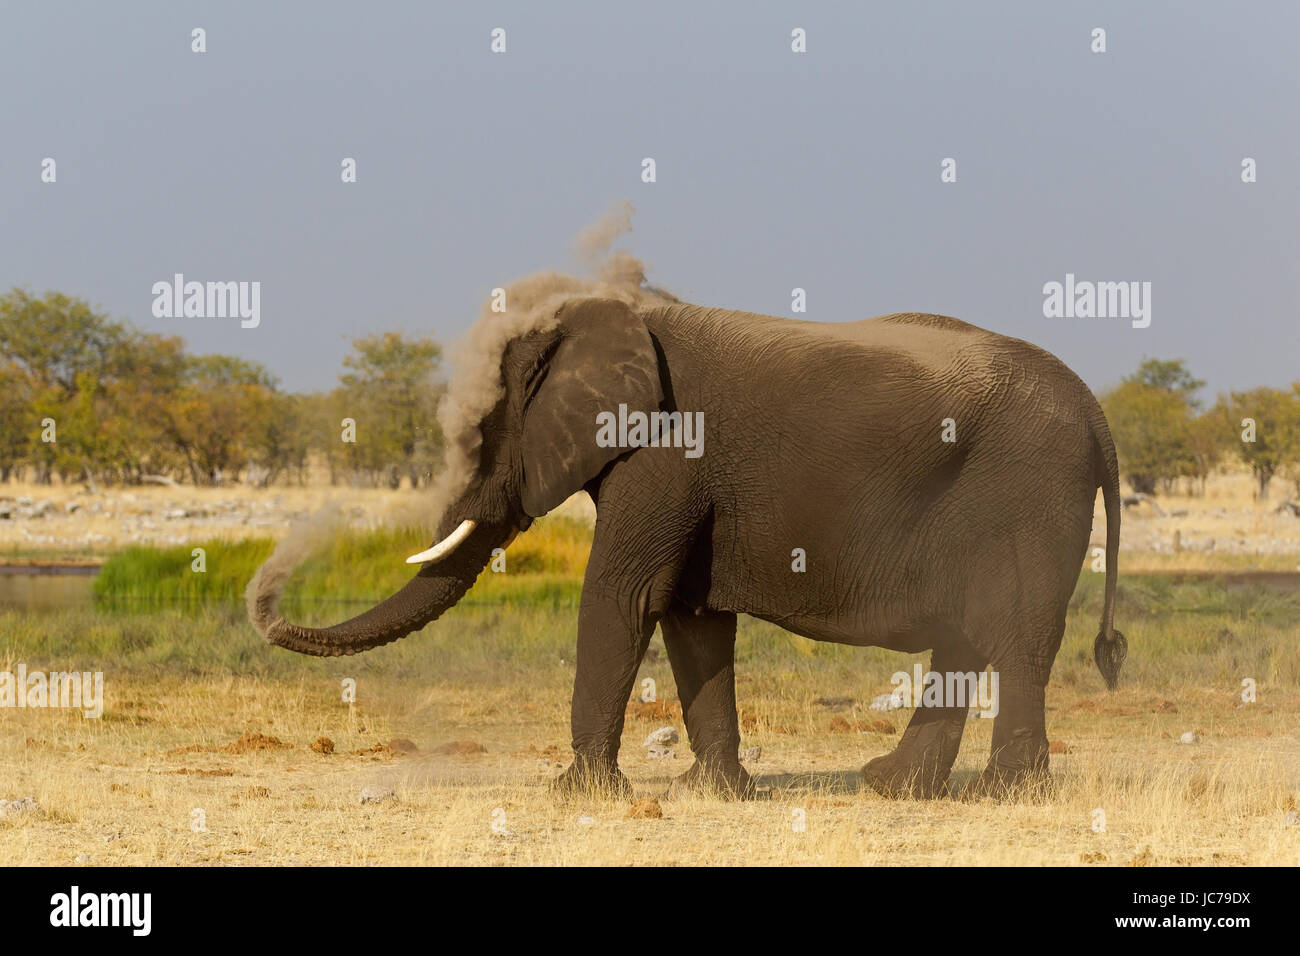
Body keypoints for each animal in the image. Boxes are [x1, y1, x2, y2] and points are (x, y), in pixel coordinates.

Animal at [249, 295, 1127, 801]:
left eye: (483, 431)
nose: (270, 582)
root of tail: (1095, 408)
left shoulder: (665, 452)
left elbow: (620, 596)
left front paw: (575, 795)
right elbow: (691, 616)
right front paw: (716, 791)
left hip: (1029, 491)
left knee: (1013, 637)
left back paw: (1005, 795)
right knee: (968, 640)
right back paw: (895, 789)